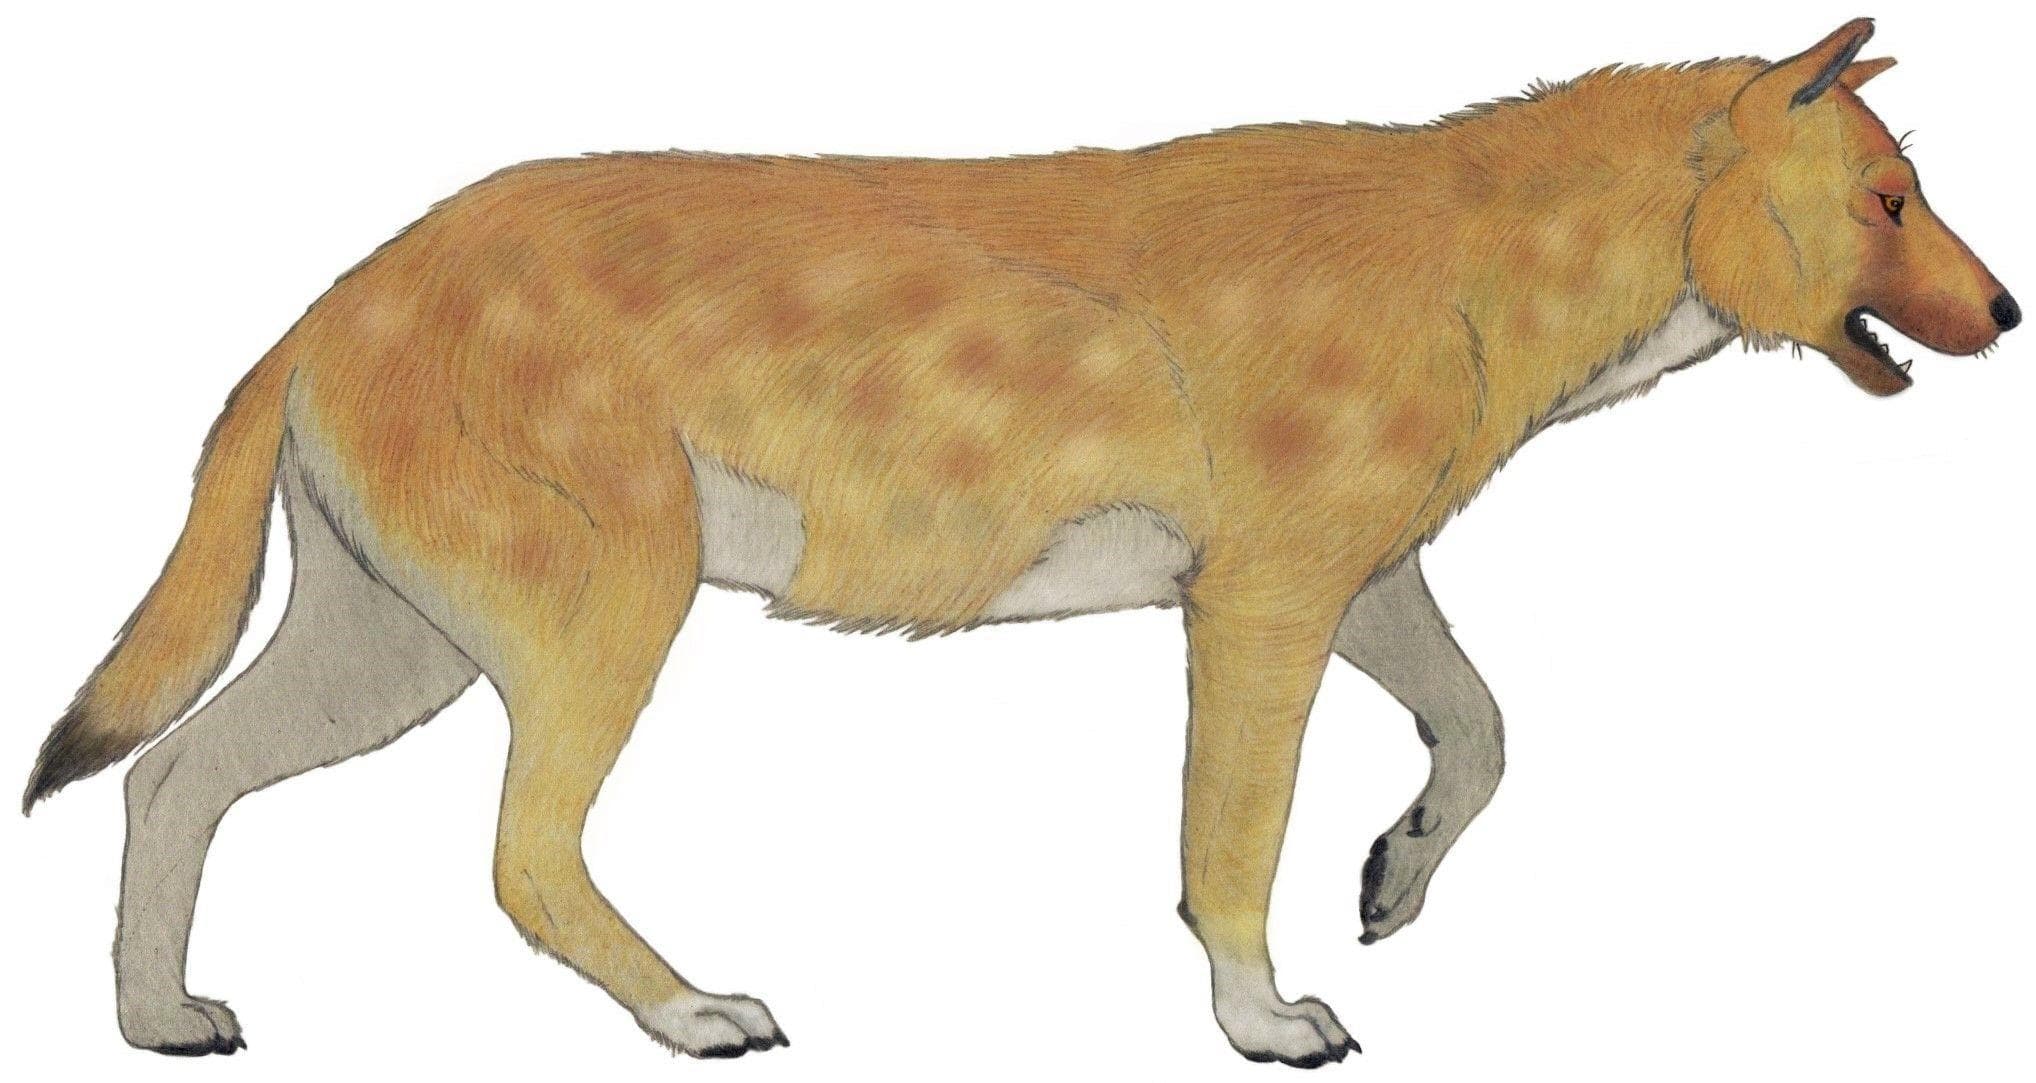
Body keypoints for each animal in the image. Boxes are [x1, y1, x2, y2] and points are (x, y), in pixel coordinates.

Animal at [22, 17, 2014, 1067]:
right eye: (1891, 196)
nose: (2006, 310)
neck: (1493, 266)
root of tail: (335, 290)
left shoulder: (1360, 583)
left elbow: (1485, 731)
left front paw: (1392, 877)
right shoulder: (1263, 607)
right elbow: (1230, 841)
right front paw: (1261, 1011)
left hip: (403, 653)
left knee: (174, 776)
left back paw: (154, 1012)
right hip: (605, 618)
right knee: (518, 855)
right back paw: (694, 1008)